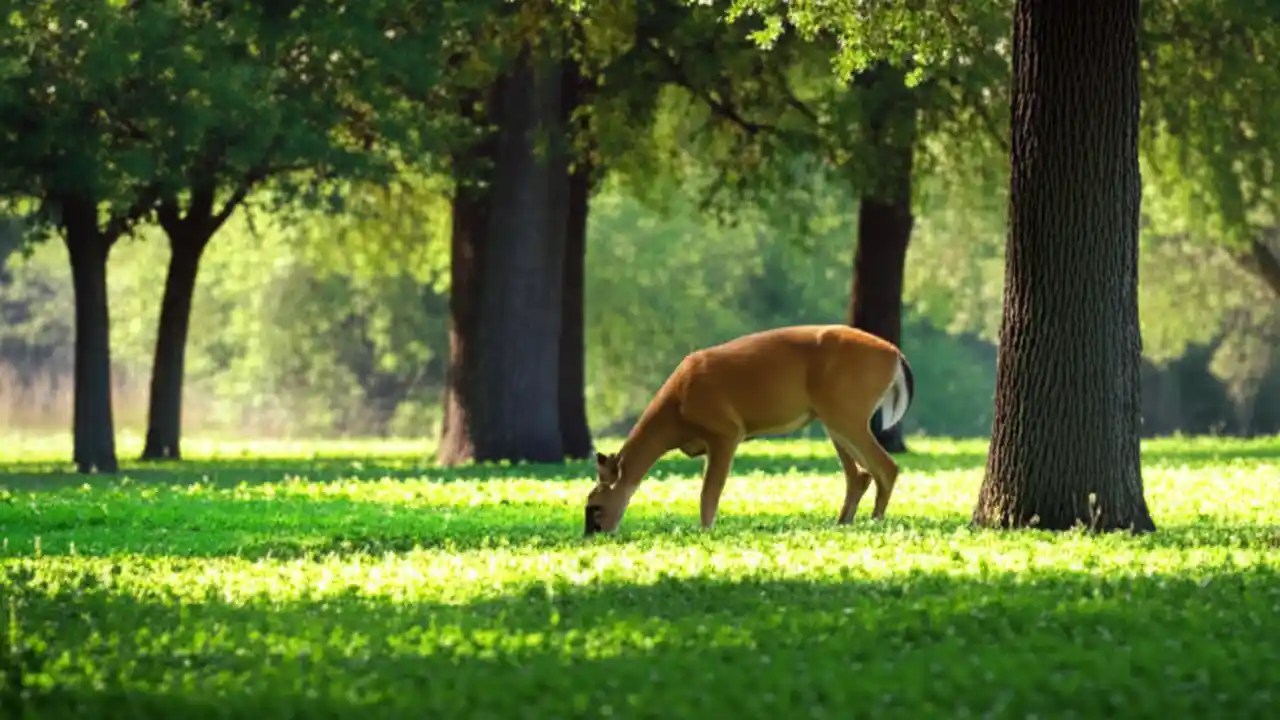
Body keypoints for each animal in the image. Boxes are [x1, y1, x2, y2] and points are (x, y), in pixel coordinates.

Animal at [583, 324, 915, 536]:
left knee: (886, 466)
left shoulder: (726, 431)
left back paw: (874, 522)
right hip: (833, 417)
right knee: (861, 474)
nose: (592, 536)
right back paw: (843, 523)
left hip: (846, 411)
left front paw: (705, 531)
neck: (677, 413)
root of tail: (896, 356)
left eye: (595, 506)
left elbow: (709, 492)